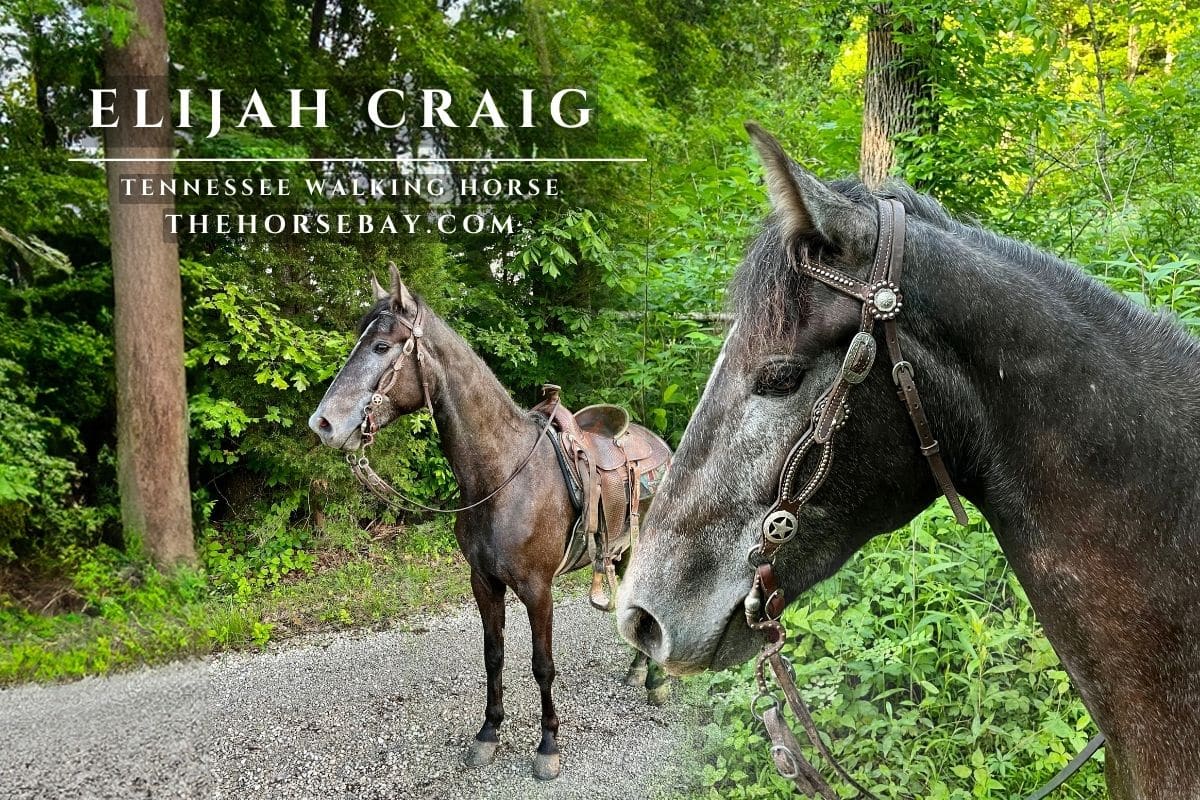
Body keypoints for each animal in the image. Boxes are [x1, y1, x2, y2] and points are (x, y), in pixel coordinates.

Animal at [308, 264, 671, 781]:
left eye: (380, 346)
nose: (323, 424)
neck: (501, 476)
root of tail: (658, 445)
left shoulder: (538, 588)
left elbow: (542, 664)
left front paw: (548, 746)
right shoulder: (483, 581)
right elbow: (493, 656)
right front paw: (488, 734)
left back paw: (655, 681)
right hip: (621, 548)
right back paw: (638, 670)